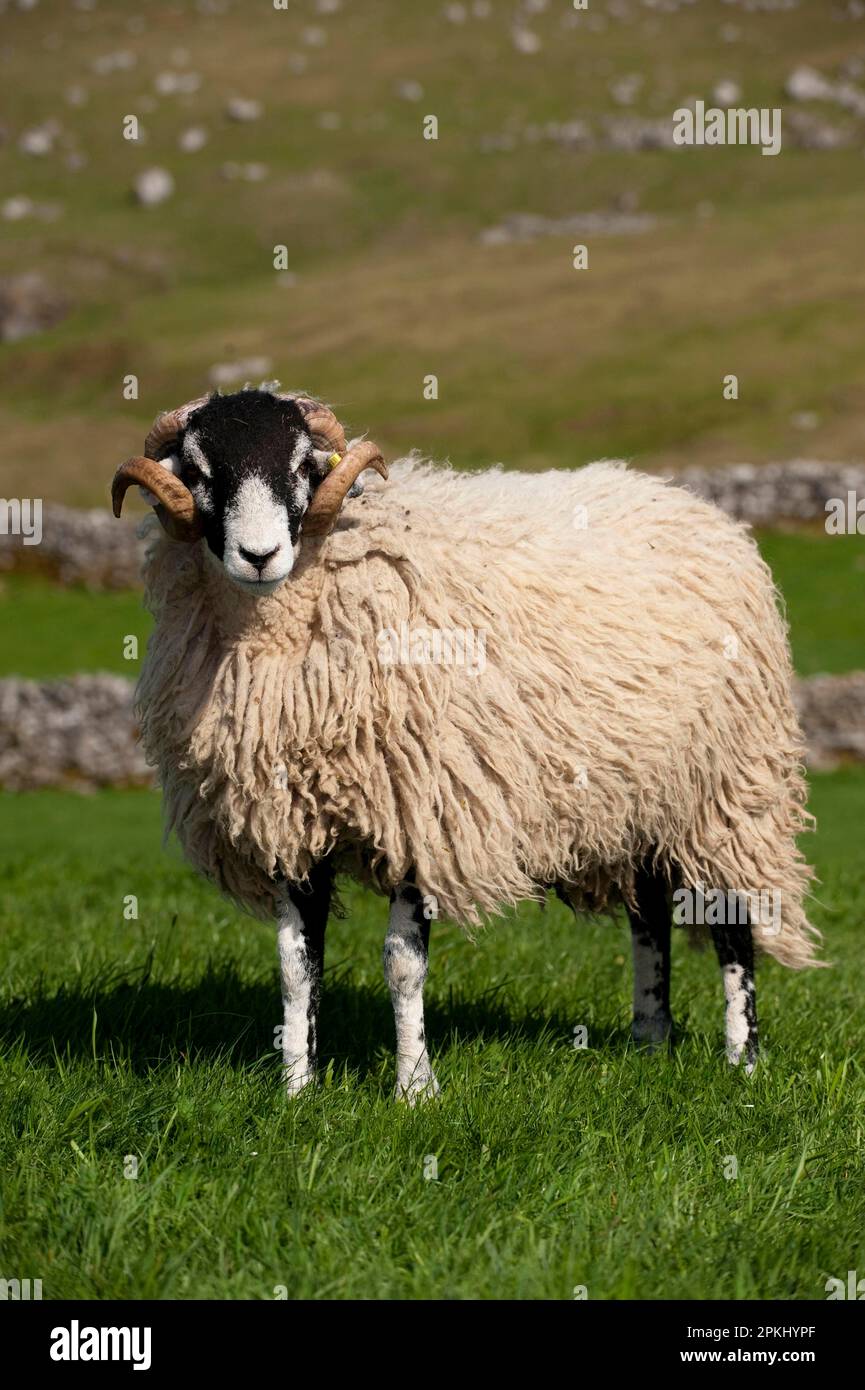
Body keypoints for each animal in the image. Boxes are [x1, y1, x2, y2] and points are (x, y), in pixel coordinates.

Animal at [112, 386, 819, 1100]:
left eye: (303, 466)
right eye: (200, 471)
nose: (259, 556)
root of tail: (693, 505)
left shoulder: (421, 810)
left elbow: (402, 964)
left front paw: (414, 1089)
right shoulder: (290, 819)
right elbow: (295, 964)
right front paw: (296, 1088)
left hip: (727, 788)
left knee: (734, 922)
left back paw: (743, 1058)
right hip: (643, 794)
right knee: (648, 913)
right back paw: (650, 1039)